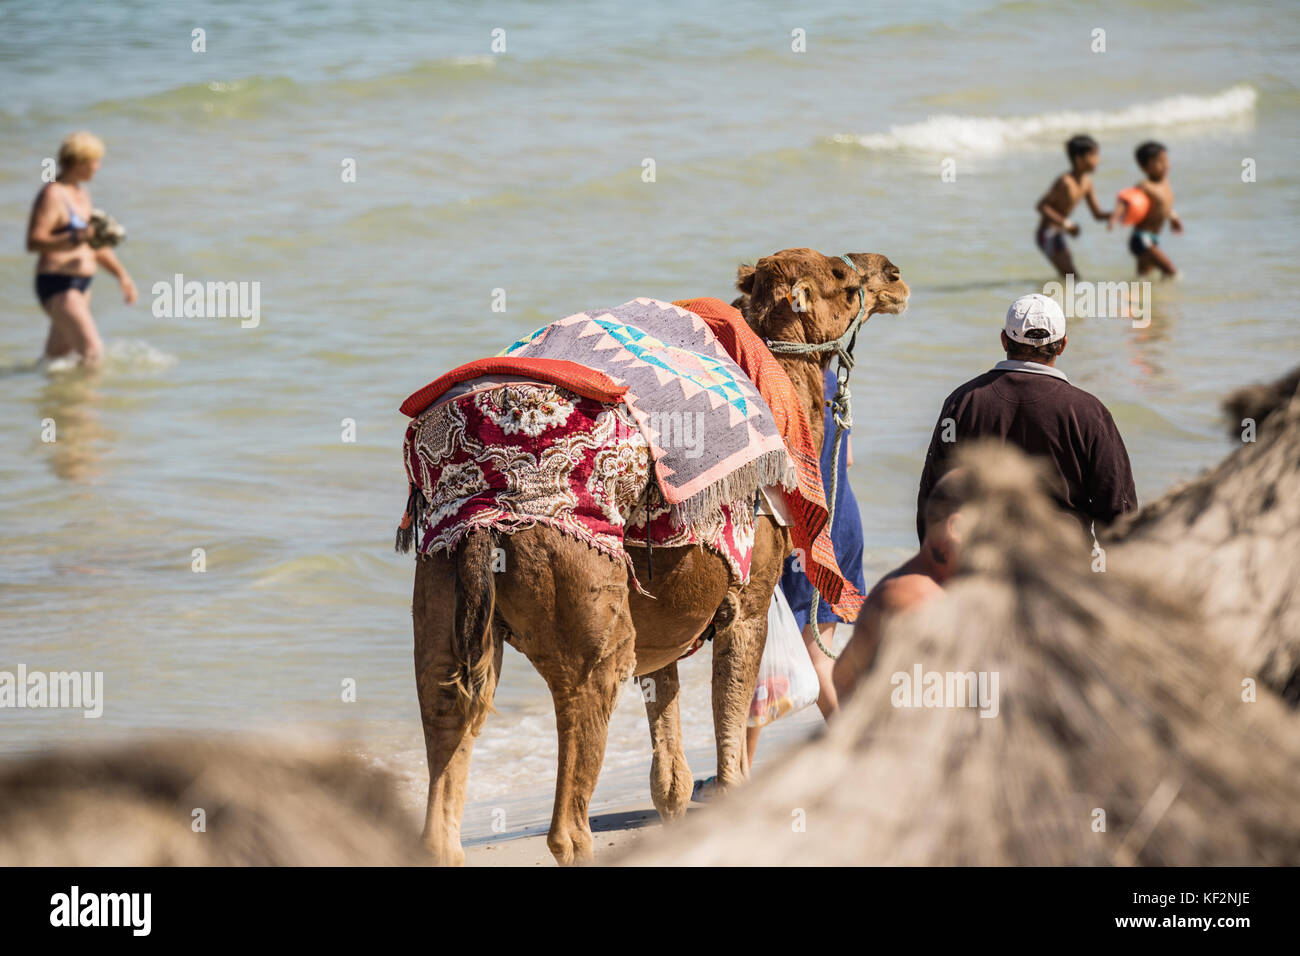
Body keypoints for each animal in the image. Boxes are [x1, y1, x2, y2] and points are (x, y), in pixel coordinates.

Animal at [411, 247, 909, 865]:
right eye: (842, 278)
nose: (892, 273)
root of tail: (486, 519)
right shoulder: (746, 604)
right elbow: (729, 762)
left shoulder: (663, 630)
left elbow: (670, 781)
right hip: (590, 624)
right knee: (569, 819)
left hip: (441, 602)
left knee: (443, 755)